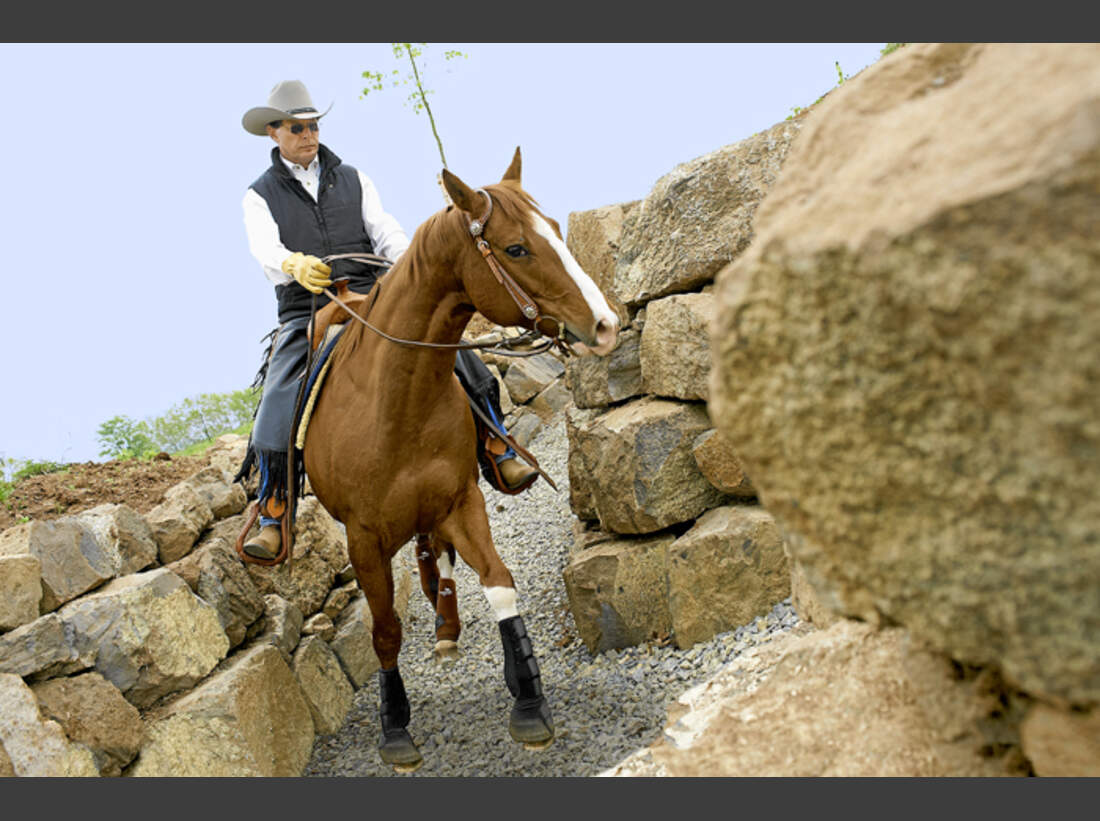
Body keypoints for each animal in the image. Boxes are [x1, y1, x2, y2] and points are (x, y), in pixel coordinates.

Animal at [300, 148, 619, 772]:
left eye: (557, 230)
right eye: (517, 248)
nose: (605, 325)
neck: (393, 402)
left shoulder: (460, 499)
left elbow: (498, 583)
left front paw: (528, 700)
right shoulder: (362, 537)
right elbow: (384, 630)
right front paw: (394, 726)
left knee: (438, 553)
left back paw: (447, 621)